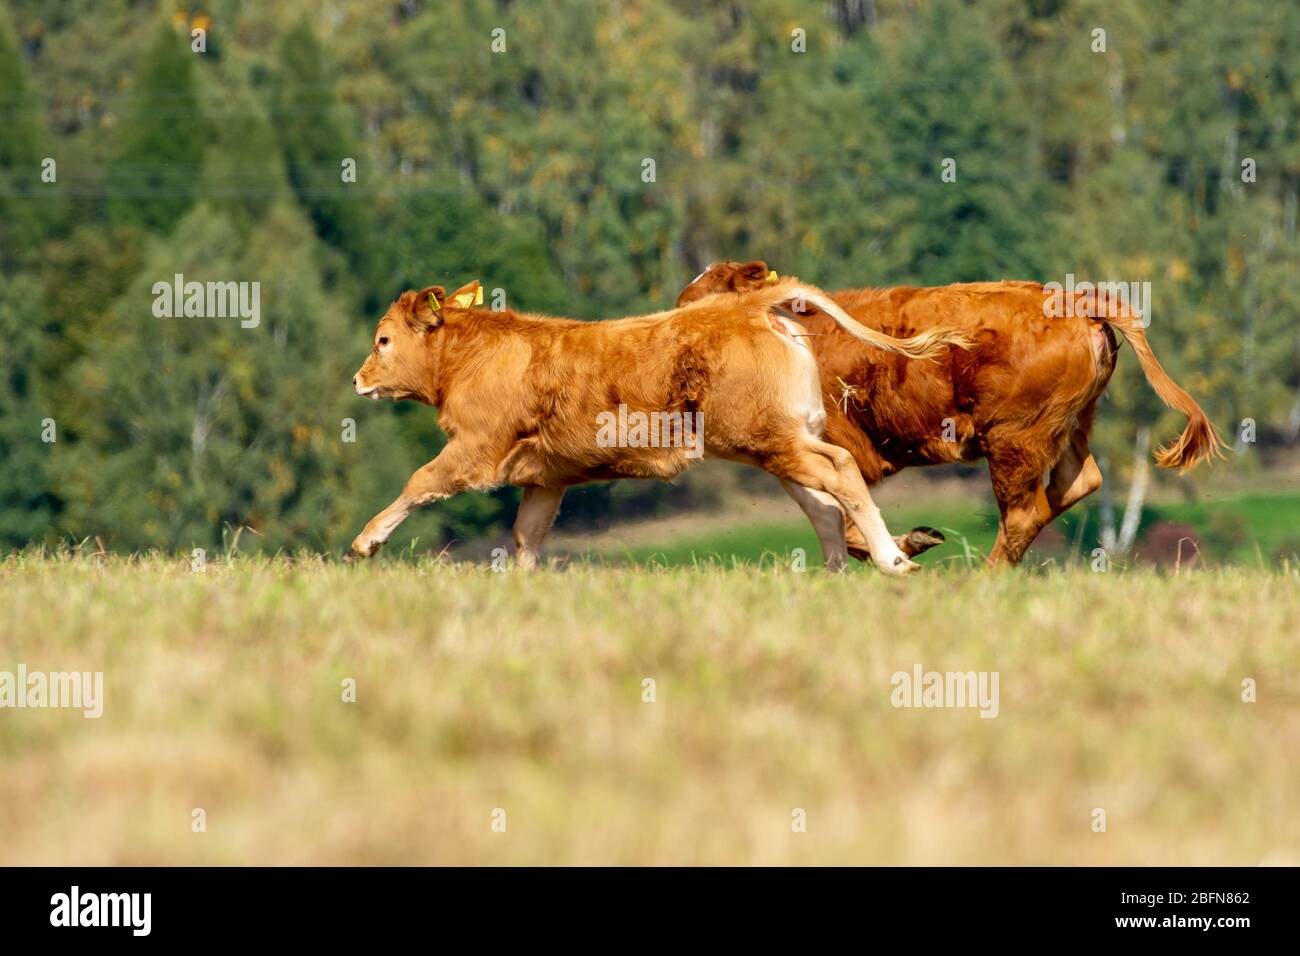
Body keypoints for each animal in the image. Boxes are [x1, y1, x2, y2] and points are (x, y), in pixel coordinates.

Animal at [349, 278, 973, 572]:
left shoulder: (473, 451)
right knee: (822, 502)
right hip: (780, 443)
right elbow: (528, 536)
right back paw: (840, 570)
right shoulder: (546, 479)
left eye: (383, 340)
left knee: (840, 472)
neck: (473, 356)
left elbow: (418, 482)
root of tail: (745, 305)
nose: (357, 379)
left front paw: (365, 542)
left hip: (770, 440)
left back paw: (892, 560)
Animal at [677, 261, 1226, 567]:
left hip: (1012, 438)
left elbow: (846, 515)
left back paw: (983, 578)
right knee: (1076, 482)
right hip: (1065, 427)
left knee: (1024, 514)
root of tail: (1072, 300)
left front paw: (903, 547)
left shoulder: (833, 445)